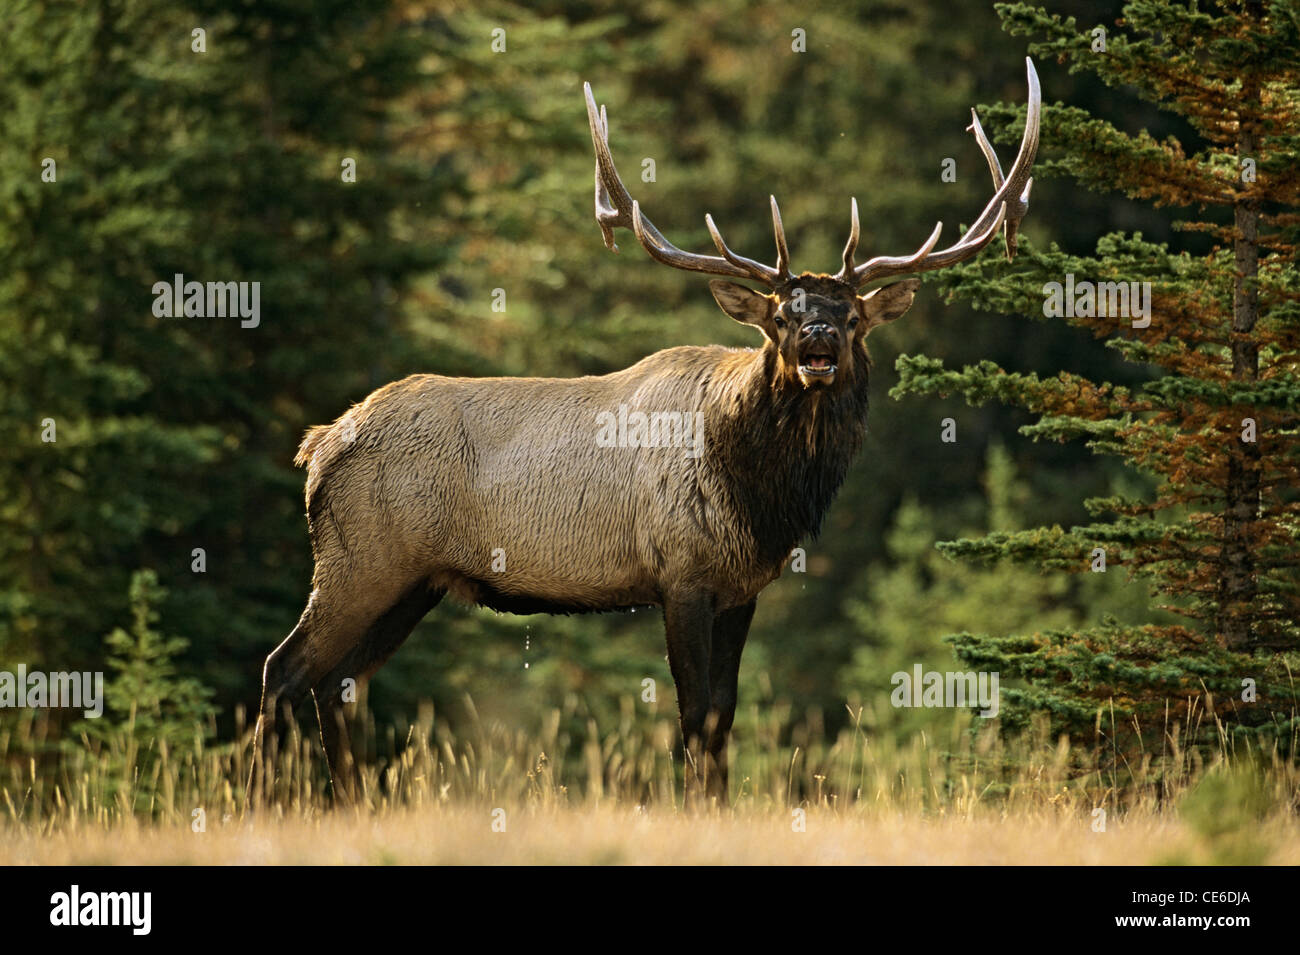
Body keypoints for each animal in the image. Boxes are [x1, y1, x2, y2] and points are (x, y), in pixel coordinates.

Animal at [249, 58, 1040, 807]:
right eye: (781, 314)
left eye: (851, 316)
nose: (817, 335)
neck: (758, 494)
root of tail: (319, 445)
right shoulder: (680, 572)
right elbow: (693, 717)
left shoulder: (741, 588)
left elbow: (723, 717)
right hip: (362, 558)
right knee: (285, 668)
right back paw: (264, 802)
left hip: (413, 581)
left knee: (339, 685)